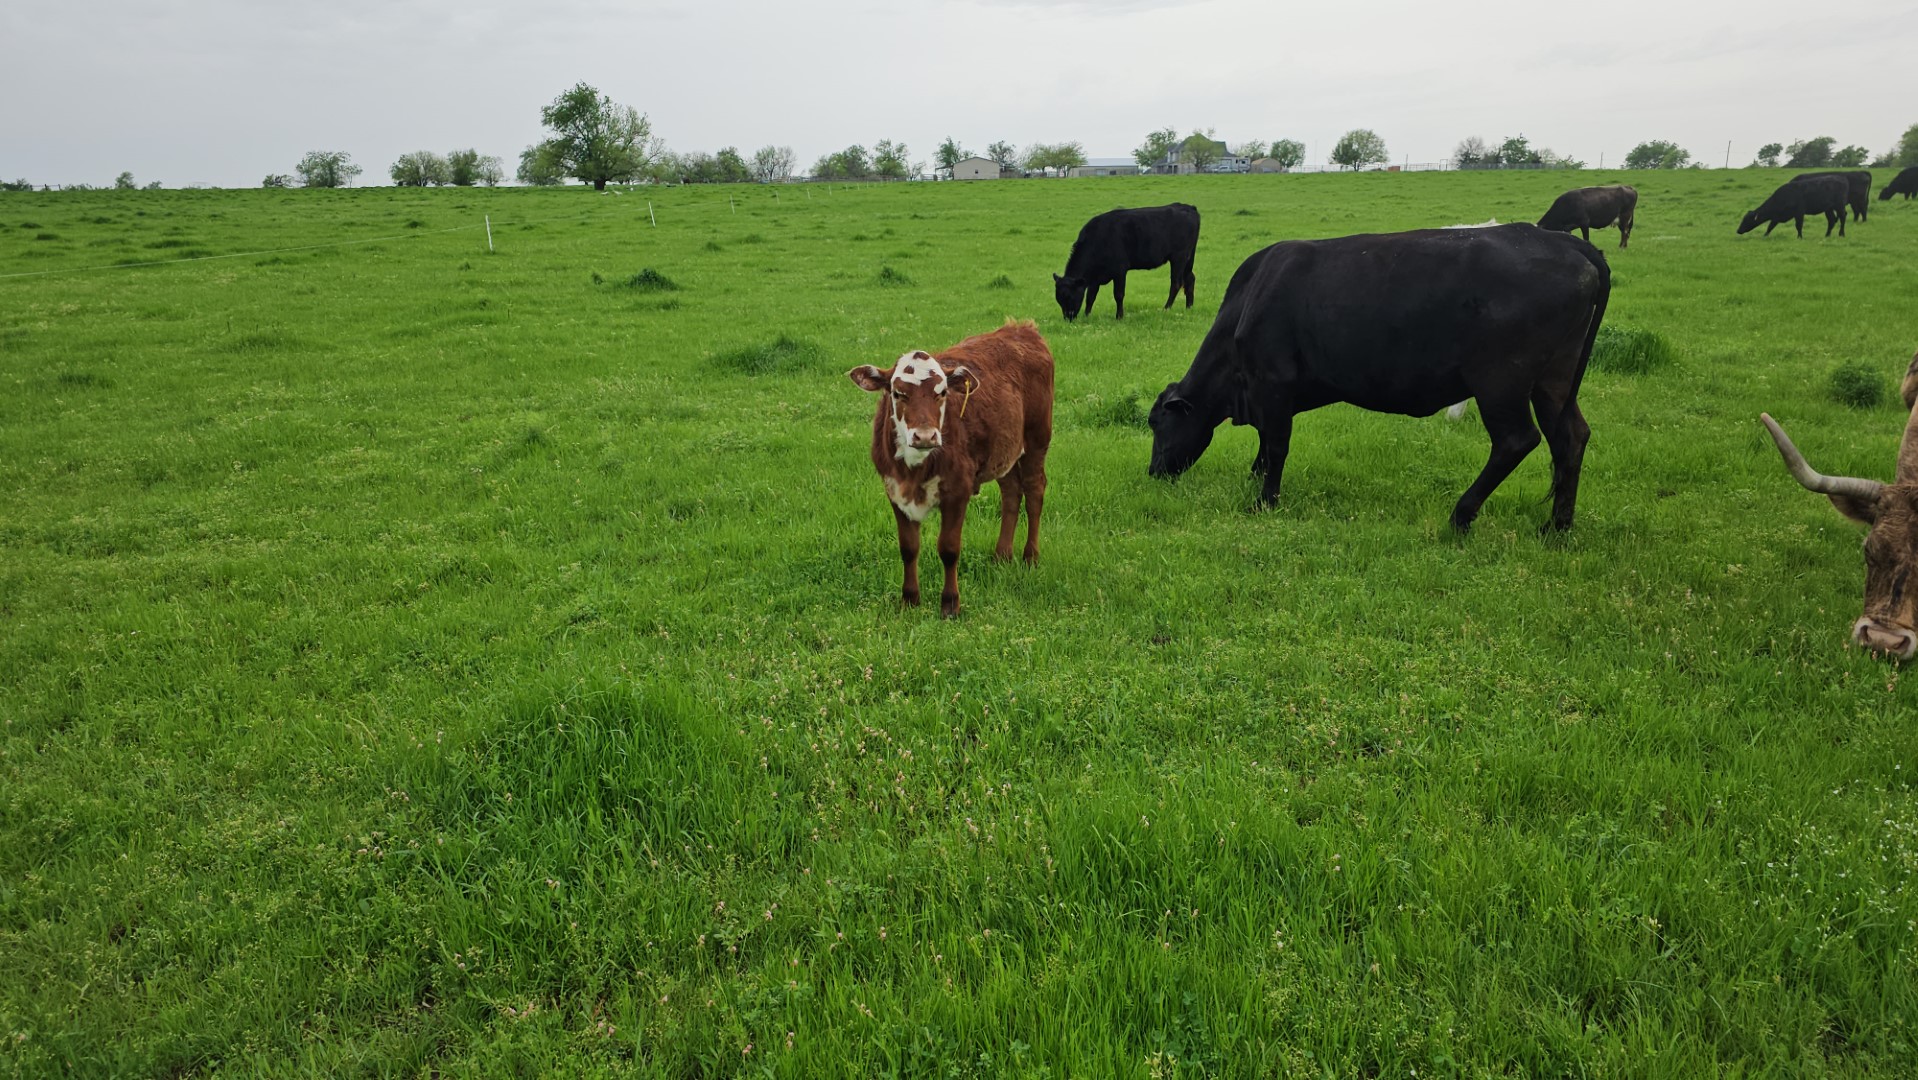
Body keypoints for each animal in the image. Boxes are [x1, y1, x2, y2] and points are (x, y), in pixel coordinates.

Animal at [847, 320, 1054, 617]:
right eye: (898, 393)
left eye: (942, 392)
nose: (925, 436)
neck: (914, 469)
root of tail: (1021, 329)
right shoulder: (894, 490)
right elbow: (908, 548)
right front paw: (909, 600)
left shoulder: (958, 491)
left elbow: (948, 548)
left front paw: (950, 604)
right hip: (1004, 451)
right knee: (1011, 493)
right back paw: (1002, 556)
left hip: (1037, 440)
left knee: (1035, 493)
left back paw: (1030, 557)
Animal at [1053, 203, 1200, 321]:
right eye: (1058, 299)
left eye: (1069, 296)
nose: (1068, 318)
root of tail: (1188, 207)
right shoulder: (1095, 278)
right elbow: (1090, 297)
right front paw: (1087, 315)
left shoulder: (1119, 271)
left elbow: (1118, 295)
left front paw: (1119, 316)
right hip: (1188, 257)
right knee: (1190, 278)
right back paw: (1189, 307)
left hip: (1179, 257)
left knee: (1176, 283)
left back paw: (1166, 309)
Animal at [1147, 223, 1610, 532]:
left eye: (1158, 424)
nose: (1154, 473)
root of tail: (1564, 241)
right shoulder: (1269, 395)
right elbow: (1264, 444)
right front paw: (1254, 481)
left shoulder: (1273, 383)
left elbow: (1276, 446)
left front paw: (1264, 501)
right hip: (1553, 380)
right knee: (1571, 437)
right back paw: (1556, 527)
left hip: (1501, 381)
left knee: (1516, 441)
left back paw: (1460, 516)